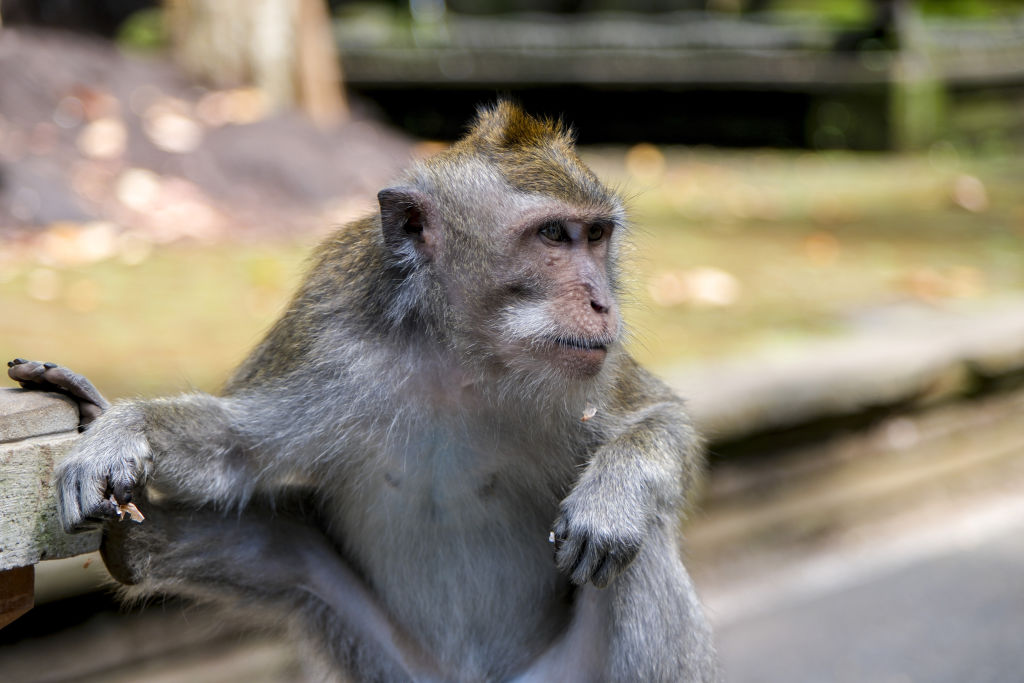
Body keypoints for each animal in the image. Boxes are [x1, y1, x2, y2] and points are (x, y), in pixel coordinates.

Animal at [15, 101, 719, 682]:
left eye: (597, 236)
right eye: (553, 235)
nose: (602, 302)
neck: (456, 354)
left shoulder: (591, 373)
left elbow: (660, 422)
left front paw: (614, 496)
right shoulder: (328, 346)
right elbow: (233, 448)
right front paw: (120, 429)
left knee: (639, 547)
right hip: (381, 662)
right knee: (293, 554)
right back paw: (133, 545)